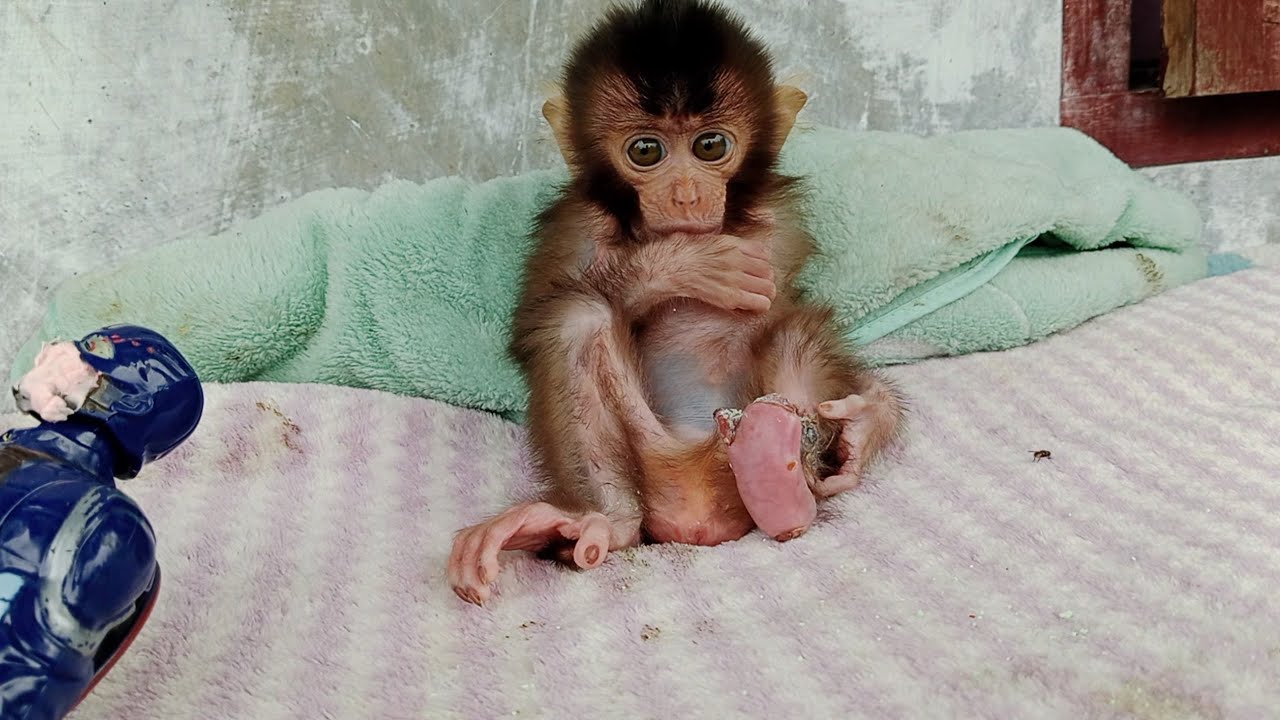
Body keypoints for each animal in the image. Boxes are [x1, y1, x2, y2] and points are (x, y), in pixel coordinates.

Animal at [447, 0, 904, 606]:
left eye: (711, 146)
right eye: (646, 151)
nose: (686, 195)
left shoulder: (778, 211)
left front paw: (867, 423)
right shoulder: (575, 223)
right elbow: (537, 310)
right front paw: (689, 263)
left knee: (794, 331)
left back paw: (780, 467)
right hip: (647, 464)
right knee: (576, 317)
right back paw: (602, 521)